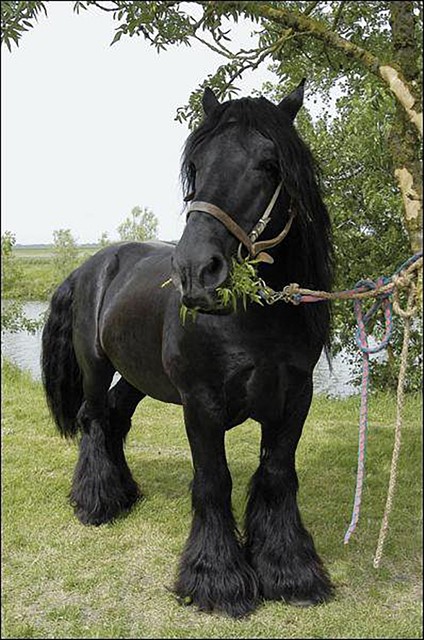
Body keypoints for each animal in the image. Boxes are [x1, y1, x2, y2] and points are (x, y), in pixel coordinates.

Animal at [41, 80, 335, 618]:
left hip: (137, 376)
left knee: (116, 417)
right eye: (194, 165)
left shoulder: (295, 399)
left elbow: (277, 474)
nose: (197, 272)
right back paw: (97, 502)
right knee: (94, 420)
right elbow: (214, 482)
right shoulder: (201, 404)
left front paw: (290, 572)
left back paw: (125, 493)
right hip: (95, 366)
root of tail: (92, 264)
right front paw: (217, 579)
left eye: (270, 163)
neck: (255, 319)